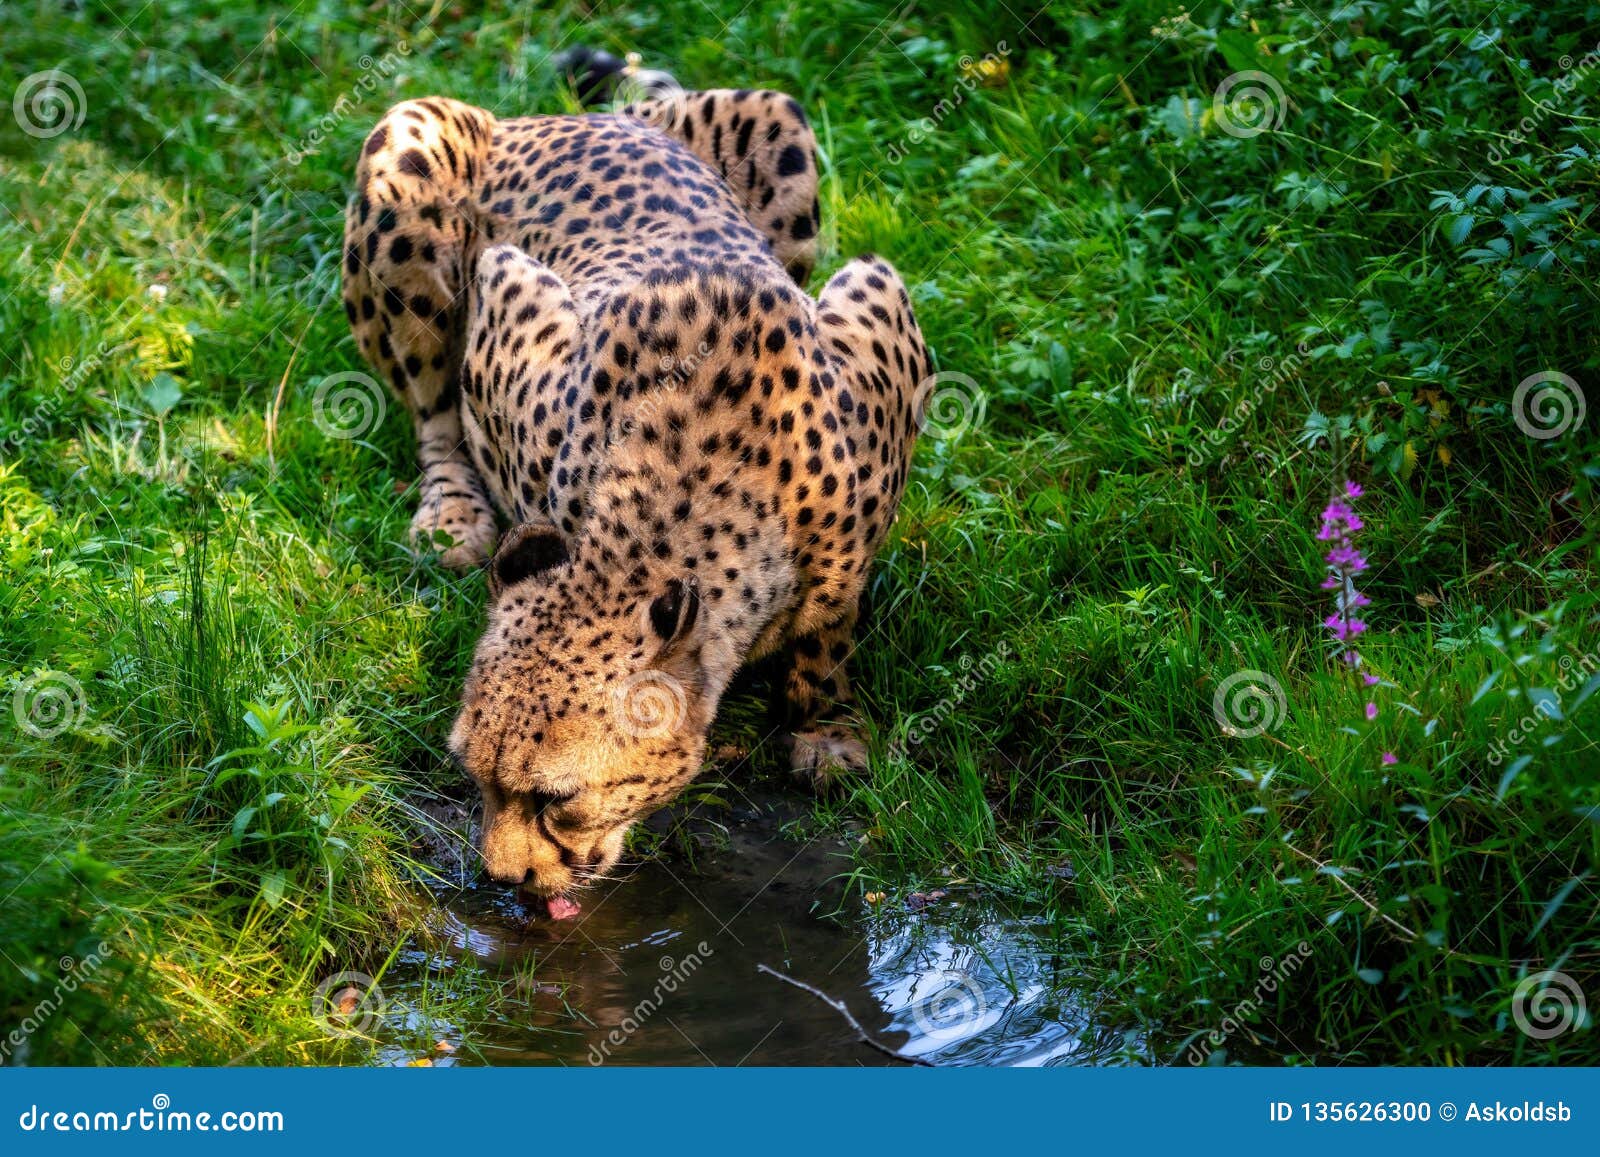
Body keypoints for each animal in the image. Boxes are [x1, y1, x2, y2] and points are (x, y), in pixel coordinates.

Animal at [340, 81, 931, 909]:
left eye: (557, 798)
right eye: (471, 772)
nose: (504, 877)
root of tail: (573, 116)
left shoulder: (881, 304)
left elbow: (834, 614)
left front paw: (828, 725)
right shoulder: (506, 292)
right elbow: (465, 404)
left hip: (782, 134)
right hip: (406, 151)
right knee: (430, 410)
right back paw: (452, 513)